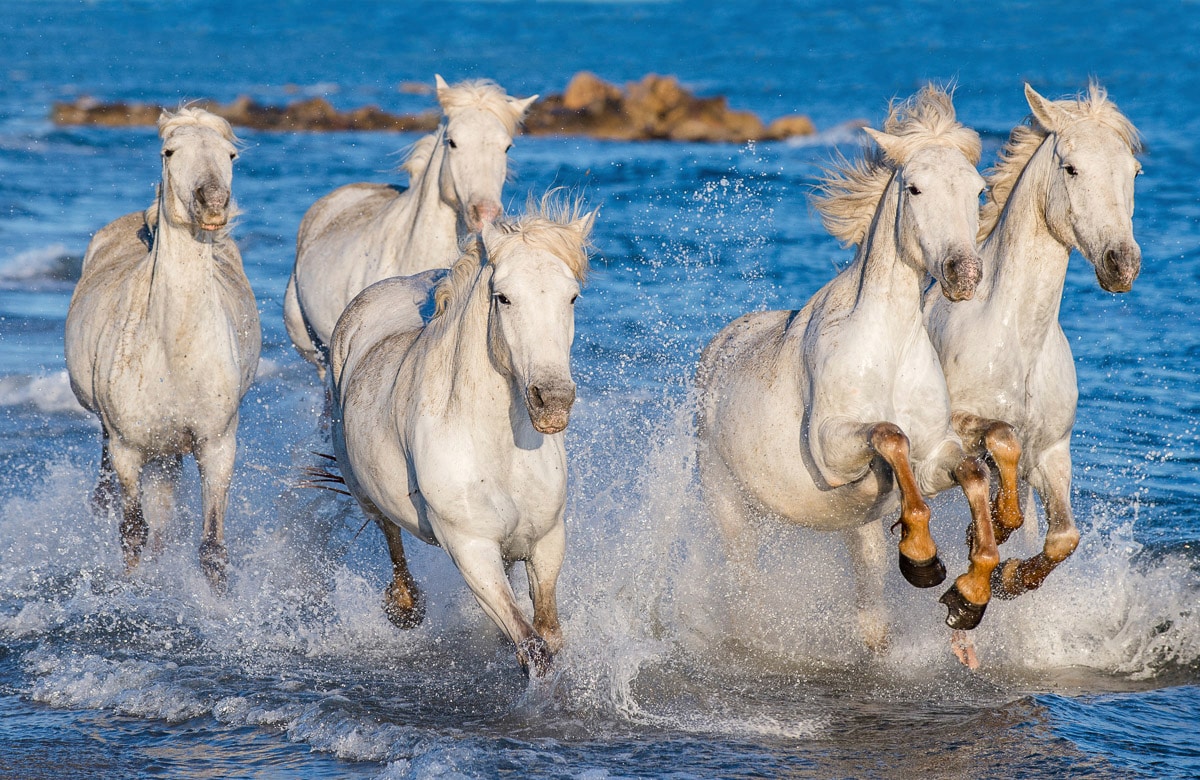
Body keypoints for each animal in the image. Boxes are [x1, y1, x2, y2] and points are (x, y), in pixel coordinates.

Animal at [64, 107, 260, 592]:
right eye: (169, 152)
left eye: (230, 154)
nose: (214, 204)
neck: (174, 351)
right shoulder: (127, 449)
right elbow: (133, 530)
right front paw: (133, 592)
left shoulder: (216, 446)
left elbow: (211, 548)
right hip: (117, 439)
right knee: (113, 499)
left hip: (170, 450)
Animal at [329, 196, 595, 676]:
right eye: (503, 297)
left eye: (572, 296)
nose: (553, 401)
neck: (497, 451)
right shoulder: (471, 550)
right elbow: (532, 647)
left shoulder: (547, 540)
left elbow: (548, 632)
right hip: (364, 491)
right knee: (388, 532)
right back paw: (405, 606)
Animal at [695, 86, 997, 661]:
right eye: (915, 188)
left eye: (978, 189)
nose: (965, 275)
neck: (889, 347)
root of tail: (717, 348)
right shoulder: (831, 449)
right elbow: (890, 434)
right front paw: (922, 558)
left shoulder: (932, 457)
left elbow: (970, 470)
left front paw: (968, 597)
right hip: (729, 507)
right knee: (743, 589)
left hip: (853, 533)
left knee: (869, 609)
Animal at [924, 83, 1142, 601]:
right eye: (1071, 168)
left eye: (1134, 171)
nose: (1121, 263)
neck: (1016, 342)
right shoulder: (959, 426)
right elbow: (1002, 439)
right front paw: (988, 537)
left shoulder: (1051, 453)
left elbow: (1064, 537)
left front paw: (1008, 576)